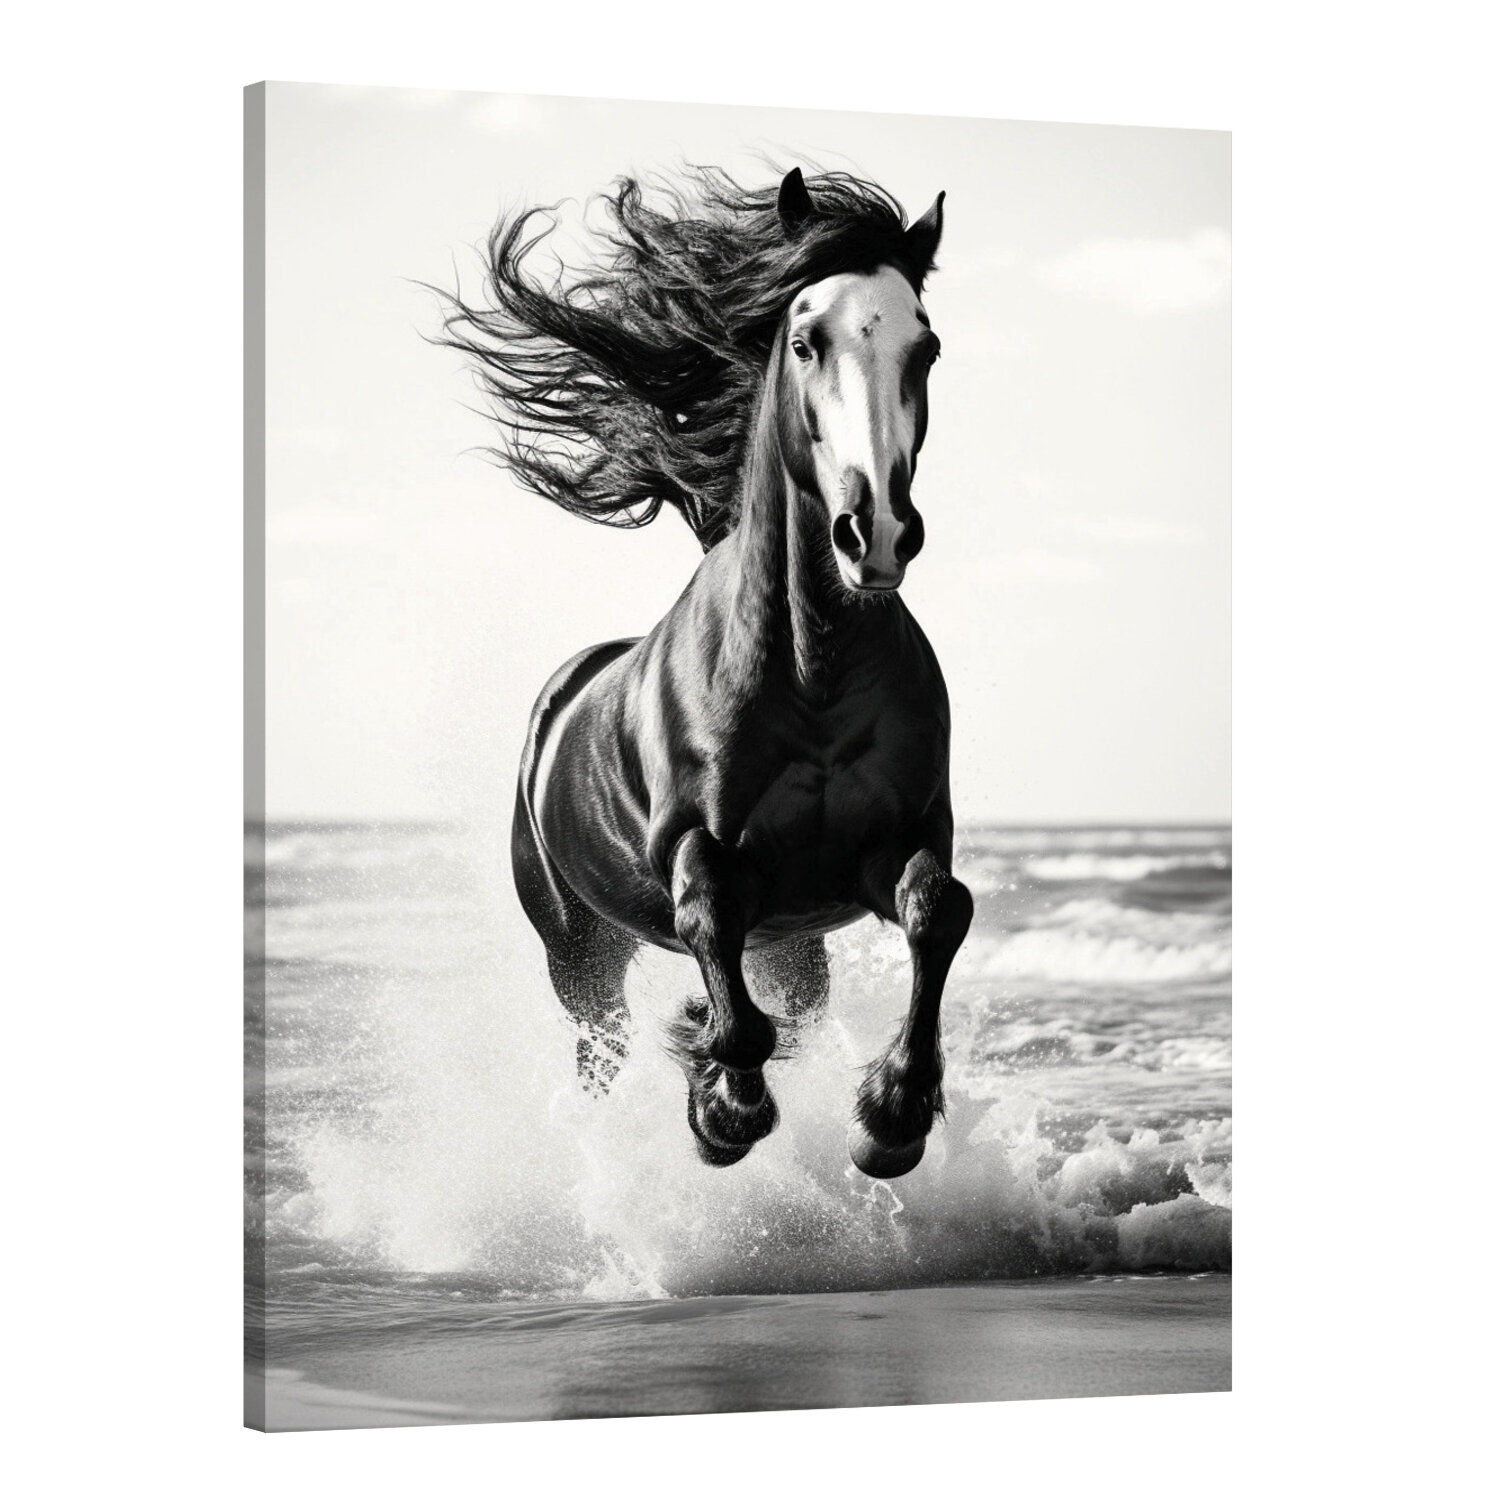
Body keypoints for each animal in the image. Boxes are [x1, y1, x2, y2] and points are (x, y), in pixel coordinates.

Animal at [440, 166, 972, 1178]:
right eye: (805, 341)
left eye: (925, 346)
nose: (877, 532)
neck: (811, 675)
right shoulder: (702, 854)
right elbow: (713, 937)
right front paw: (722, 1109)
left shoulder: (895, 841)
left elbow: (939, 908)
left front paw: (891, 1116)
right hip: (579, 954)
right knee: (601, 1049)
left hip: (794, 947)